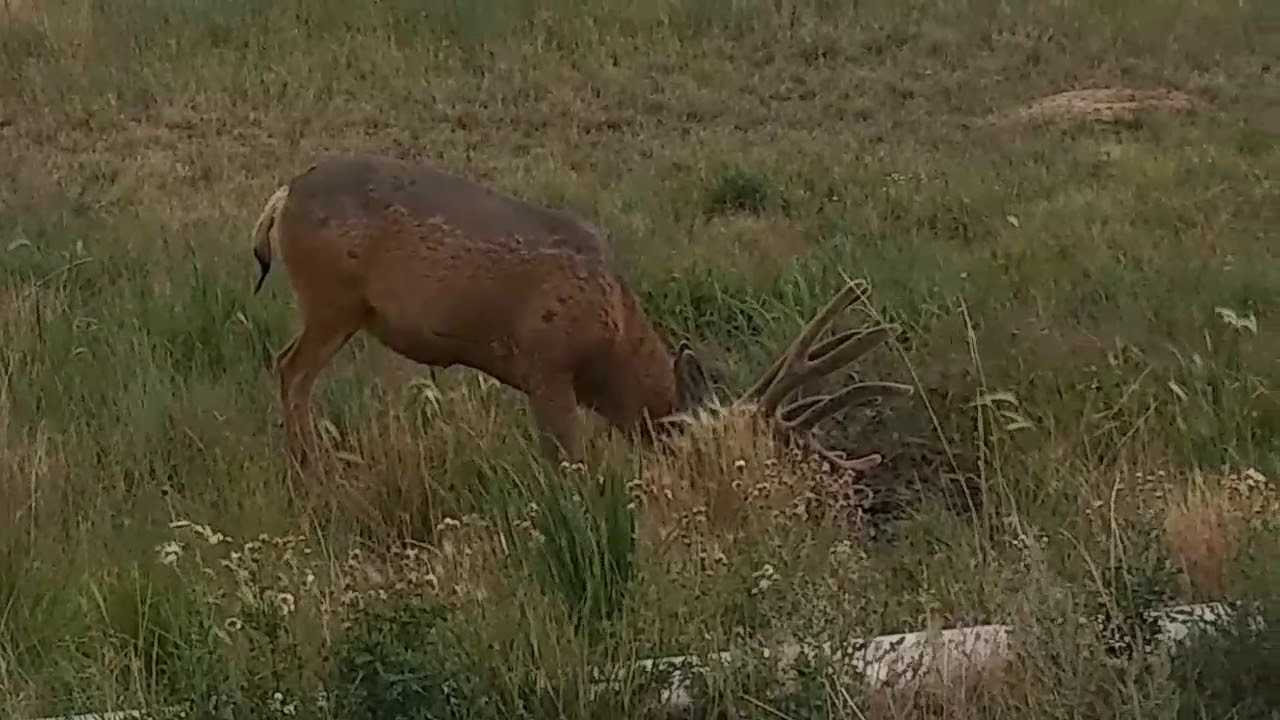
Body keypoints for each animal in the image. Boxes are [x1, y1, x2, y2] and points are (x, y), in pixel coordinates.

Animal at [249, 152, 913, 472]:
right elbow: (569, 459)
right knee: (290, 369)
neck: (611, 343)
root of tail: (282, 195)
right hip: (332, 301)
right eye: (721, 456)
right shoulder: (545, 362)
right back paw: (317, 467)